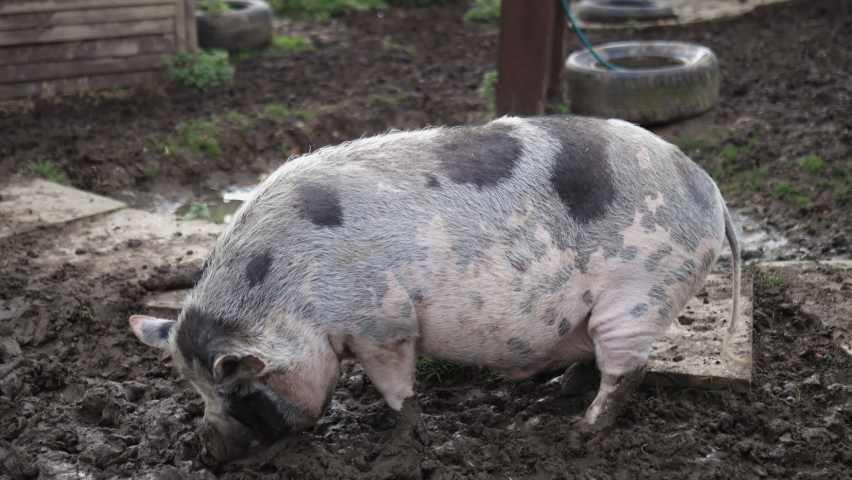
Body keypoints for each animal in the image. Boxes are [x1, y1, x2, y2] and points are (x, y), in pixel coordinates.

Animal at [130, 115, 750, 459]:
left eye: (239, 391)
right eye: (196, 392)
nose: (205, 450)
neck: (291, 296)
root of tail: (711, 190)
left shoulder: (383, 323)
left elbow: (396, 389)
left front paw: (407, 445)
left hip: (641, 291)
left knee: (629, 370)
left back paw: (579, 438)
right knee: (593, 359)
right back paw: (551, 398)